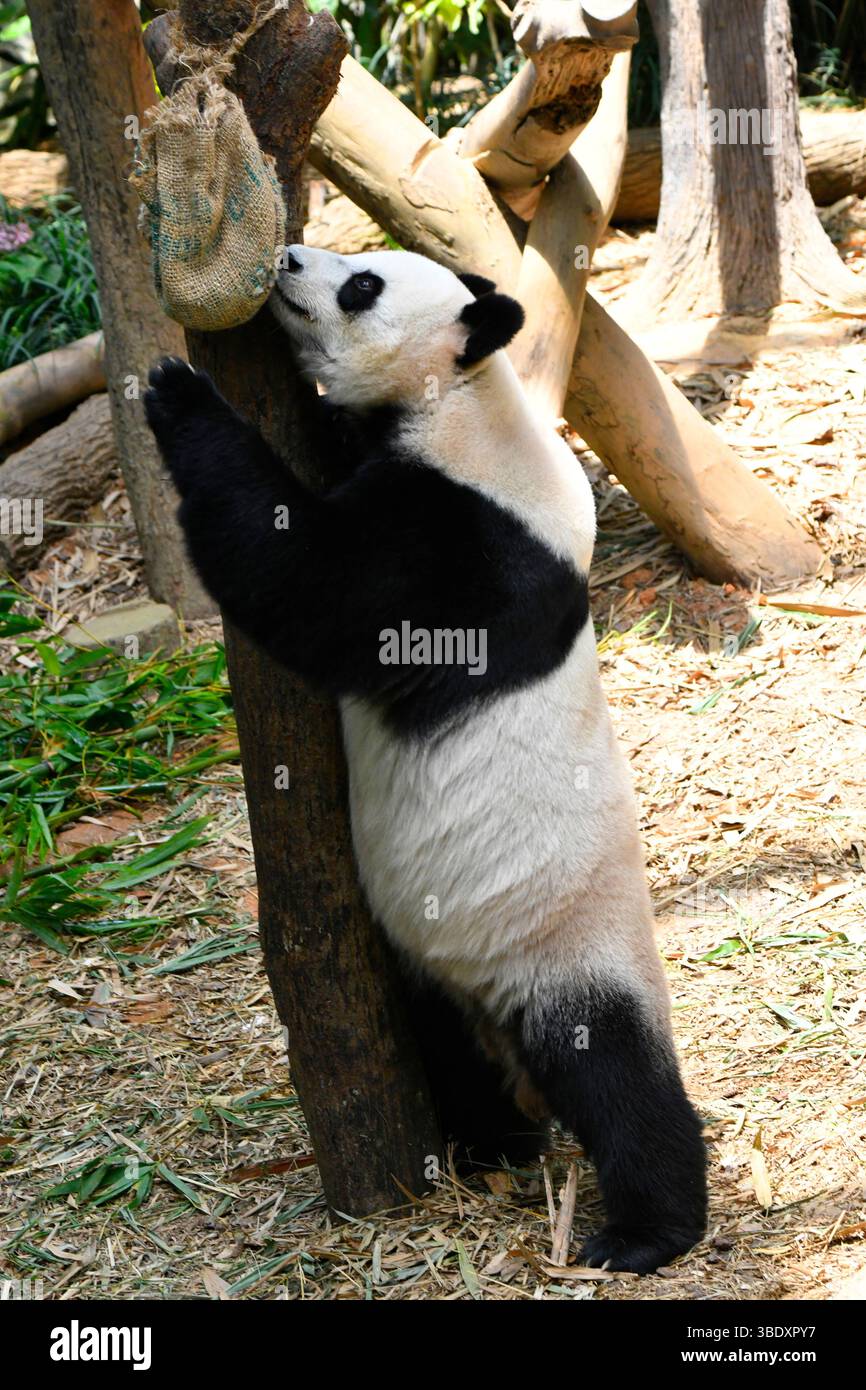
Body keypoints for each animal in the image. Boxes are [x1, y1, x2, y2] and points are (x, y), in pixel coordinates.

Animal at [144, 245, 707, 1274]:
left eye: (362, 284)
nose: (289, 257)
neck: (464, 394)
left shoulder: (462, 543)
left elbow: (308, 581)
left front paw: (179, 392)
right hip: (445, 976)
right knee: (452, 1050)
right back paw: (493, 1143)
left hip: (571, 948)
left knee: (616, 1074)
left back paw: (643, 1231)